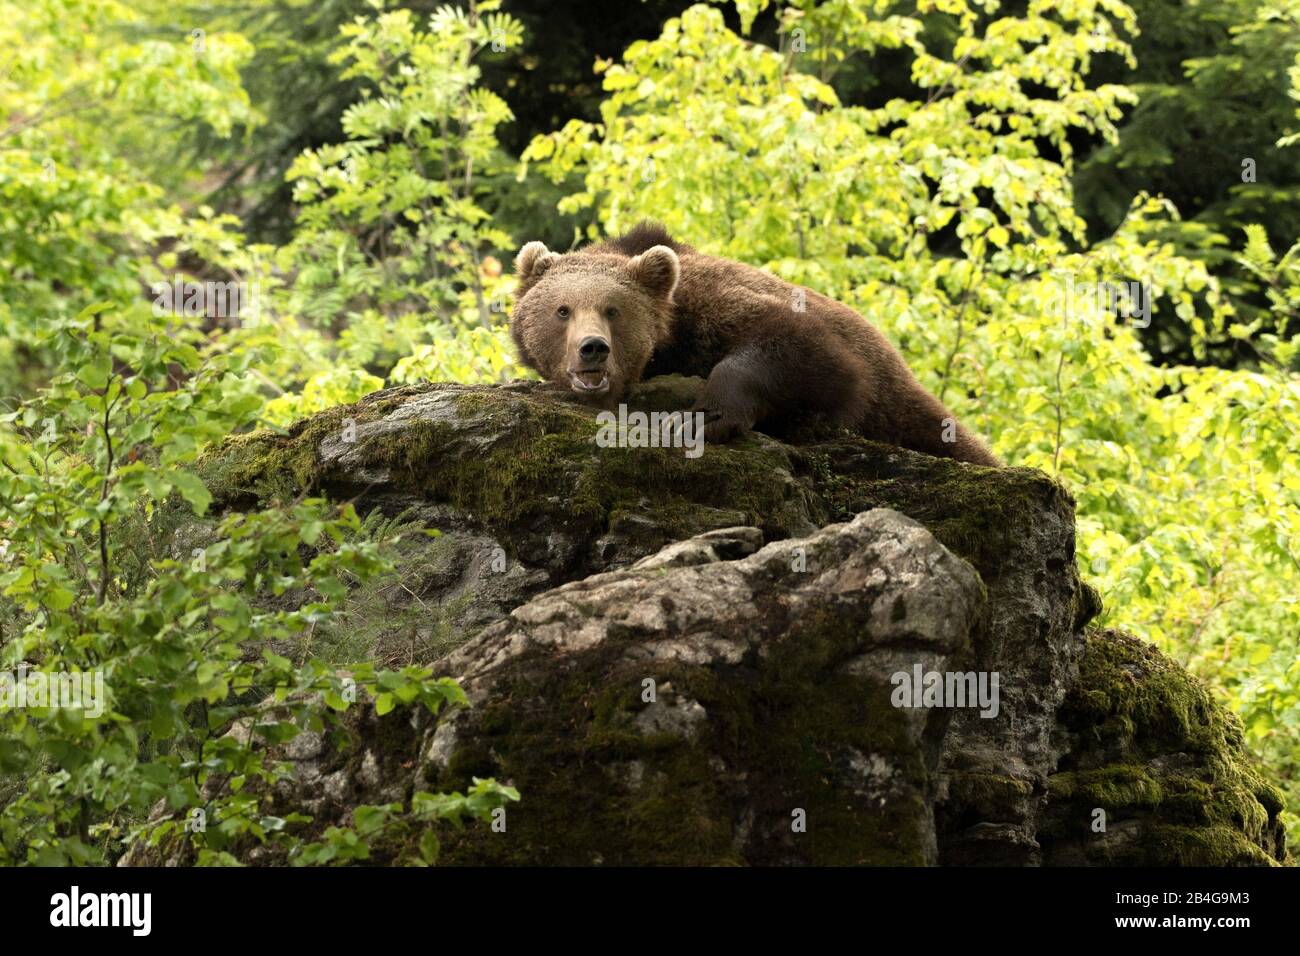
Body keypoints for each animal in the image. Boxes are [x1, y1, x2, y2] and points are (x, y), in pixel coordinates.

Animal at [509, 222, 999, 467]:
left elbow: (805, 351)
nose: (593, 348)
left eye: (614, 310)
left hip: (903, 410)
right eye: (563, 310)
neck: (668, 342)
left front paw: (699, 418)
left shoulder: (712, 307)